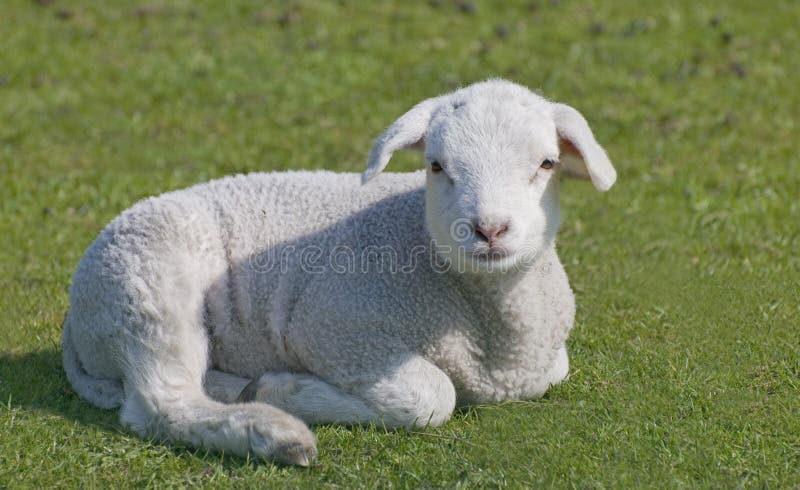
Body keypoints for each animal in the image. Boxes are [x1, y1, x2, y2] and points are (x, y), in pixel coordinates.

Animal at [62, 79, 616, 466]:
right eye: (436, 166)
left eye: (546, 164)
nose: (490, 229)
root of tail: (73, 320)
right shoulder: (335, 330)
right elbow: (430, 397)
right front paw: (288, 392)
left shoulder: (544, 361)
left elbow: (553, 371)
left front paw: (271, 386)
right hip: (147, 289)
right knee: (160, 404)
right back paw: (274, 433)